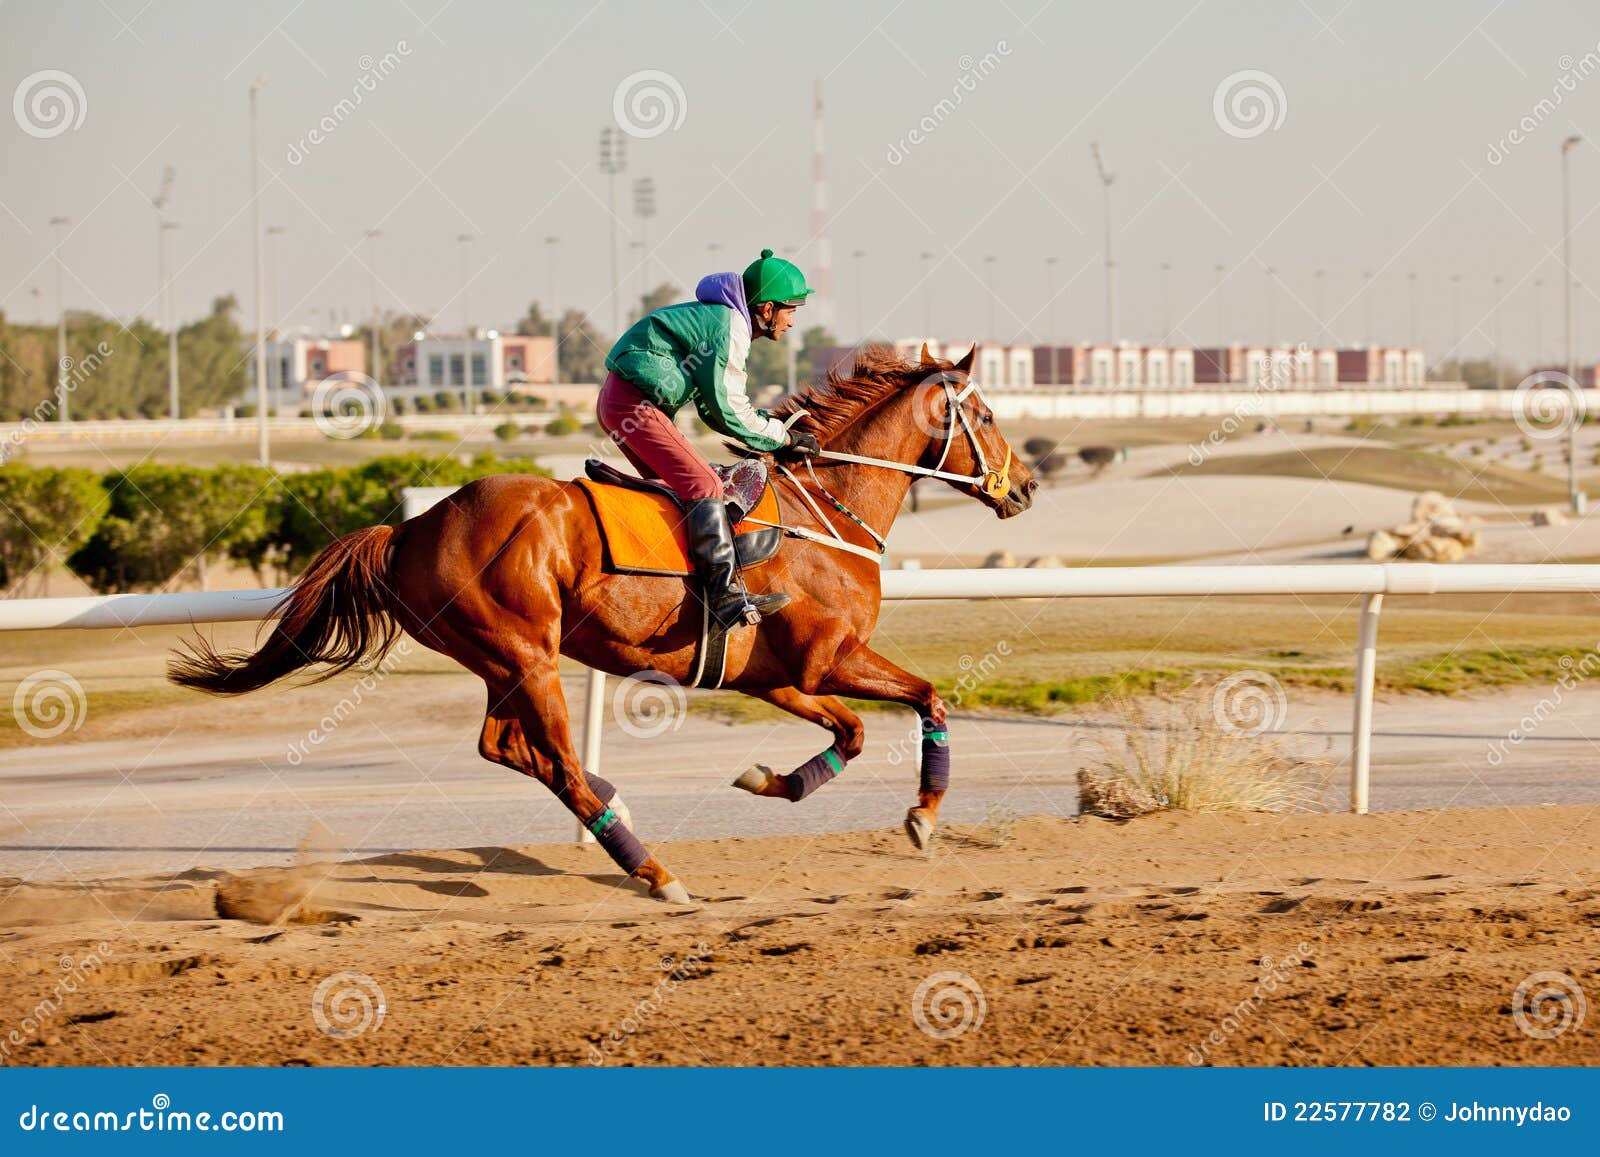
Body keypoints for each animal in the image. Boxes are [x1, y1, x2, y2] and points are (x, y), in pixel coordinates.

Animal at [169, 343, 1036, 902]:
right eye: (990, 413)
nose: (1024, 486)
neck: (827, 514)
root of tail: (411, 527)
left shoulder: (777, 677)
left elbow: (850, 733)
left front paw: (771, 779)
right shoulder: (831, 658)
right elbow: (928, 696)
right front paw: (922, 816)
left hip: (505, 659)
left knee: (507, 746)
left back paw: (615, 804)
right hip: (526, 651)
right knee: (555, 762)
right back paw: (652, 869)